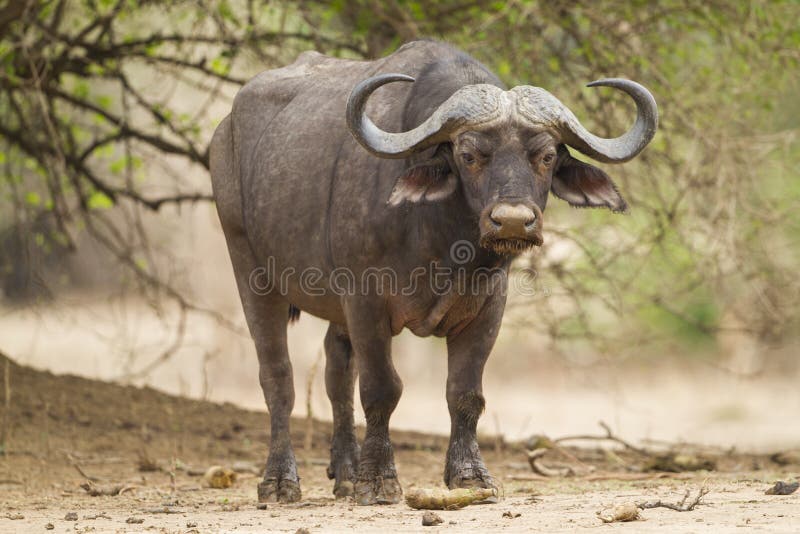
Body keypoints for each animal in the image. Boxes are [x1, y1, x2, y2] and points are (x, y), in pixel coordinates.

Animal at [209, 40, 657, 505]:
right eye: (468, 155)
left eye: (547, 156)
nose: (513, 222)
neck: (442, 242)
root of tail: (226, 131)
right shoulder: (364, 299)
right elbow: (381, 388)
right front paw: (378, 480)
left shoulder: (488, 306)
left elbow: (465, 393)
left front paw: (469, 475)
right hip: (251, 271)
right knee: (278, 378)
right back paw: (280, 481)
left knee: (336, 372)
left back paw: (346, 473)